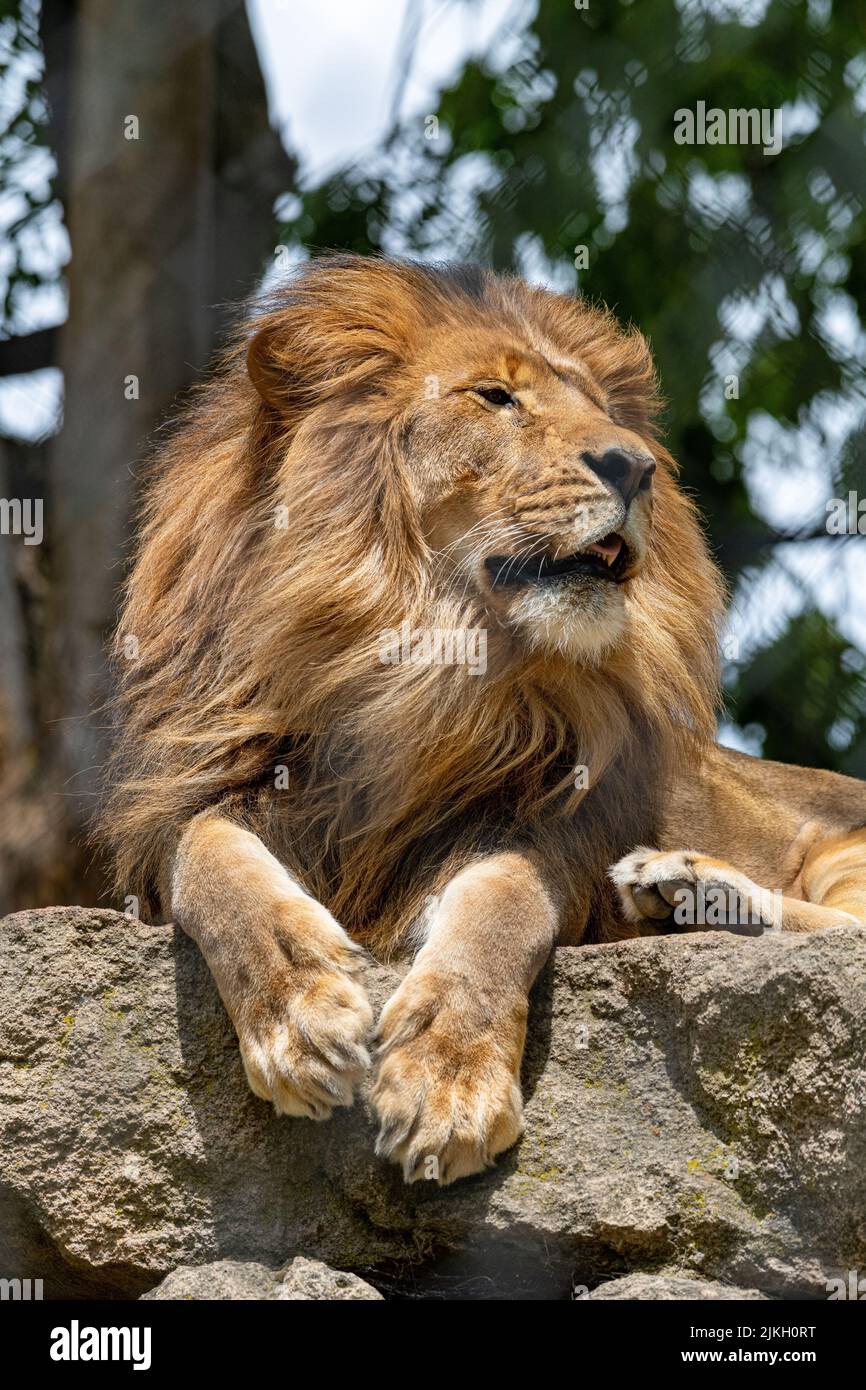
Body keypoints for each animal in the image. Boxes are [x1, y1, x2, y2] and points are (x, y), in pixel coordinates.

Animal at [100, 254, 866, 1185]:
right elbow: (213, 865)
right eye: (496, 397)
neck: (426, 666)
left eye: (603, 413)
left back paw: (685, 882)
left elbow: (500, 910)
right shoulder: (199, 800)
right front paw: (301, 1015)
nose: (636, 468)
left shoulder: (544, 830)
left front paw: (447, 1081)